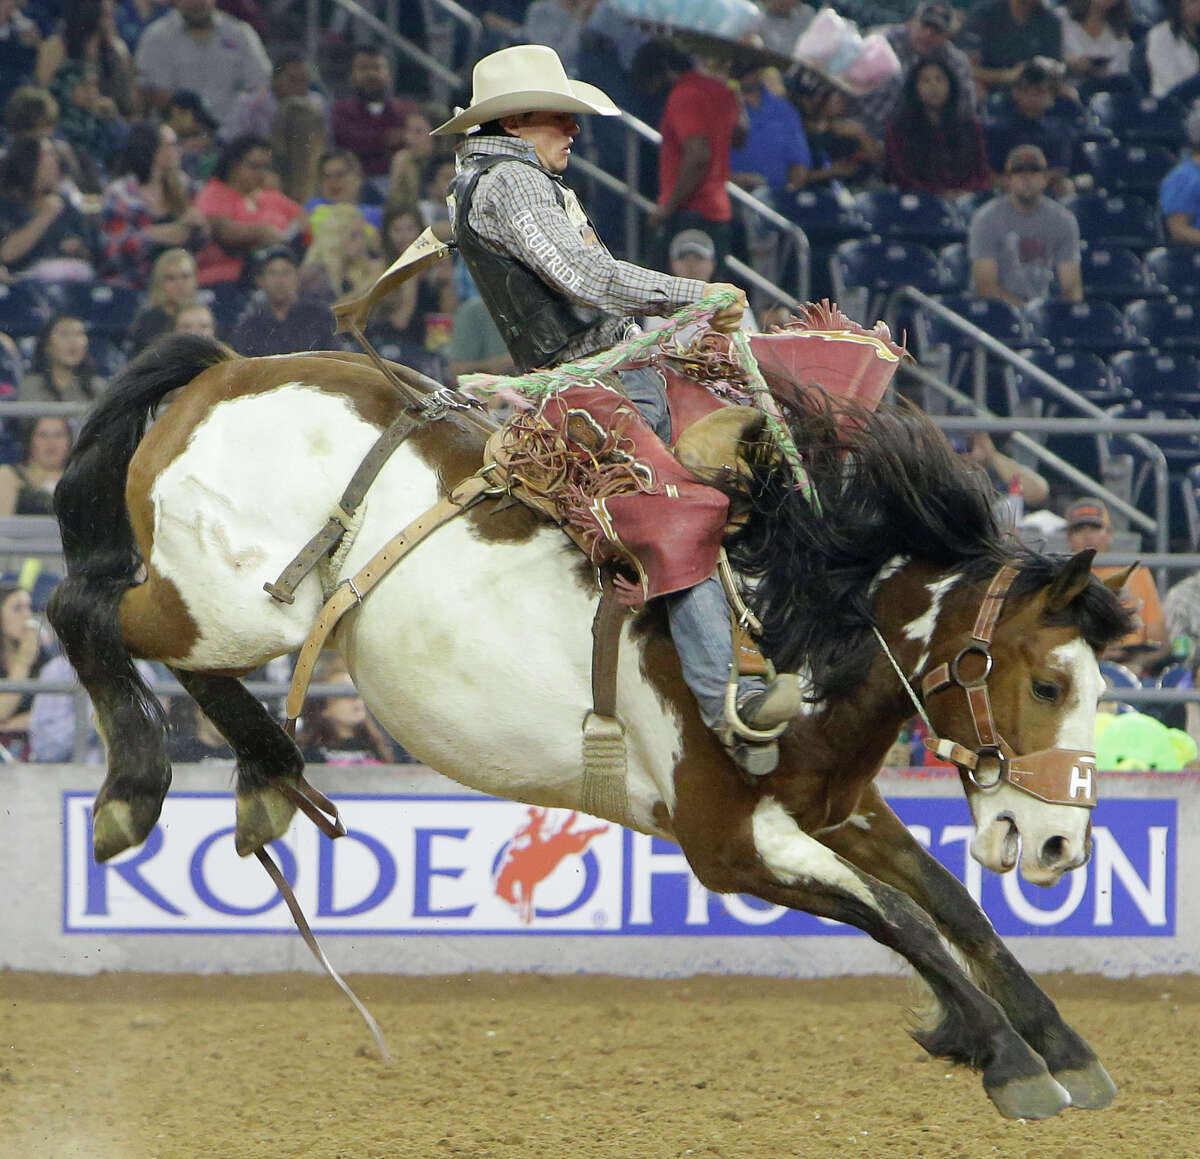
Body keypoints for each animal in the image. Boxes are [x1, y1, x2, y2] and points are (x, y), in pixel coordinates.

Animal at [48, 333, 1133, 1121]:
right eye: (1048, 683)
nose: (1057, 843)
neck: (789, 618)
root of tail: (230, 369)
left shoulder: (837, 807)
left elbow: (952, 905)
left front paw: (1062, 1045)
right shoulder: (729, 843)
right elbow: (898, 915)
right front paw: (1004, 1057)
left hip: (225, 614)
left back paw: (267, 777)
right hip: (226, 605)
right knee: (81, 607)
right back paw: (133, 790)